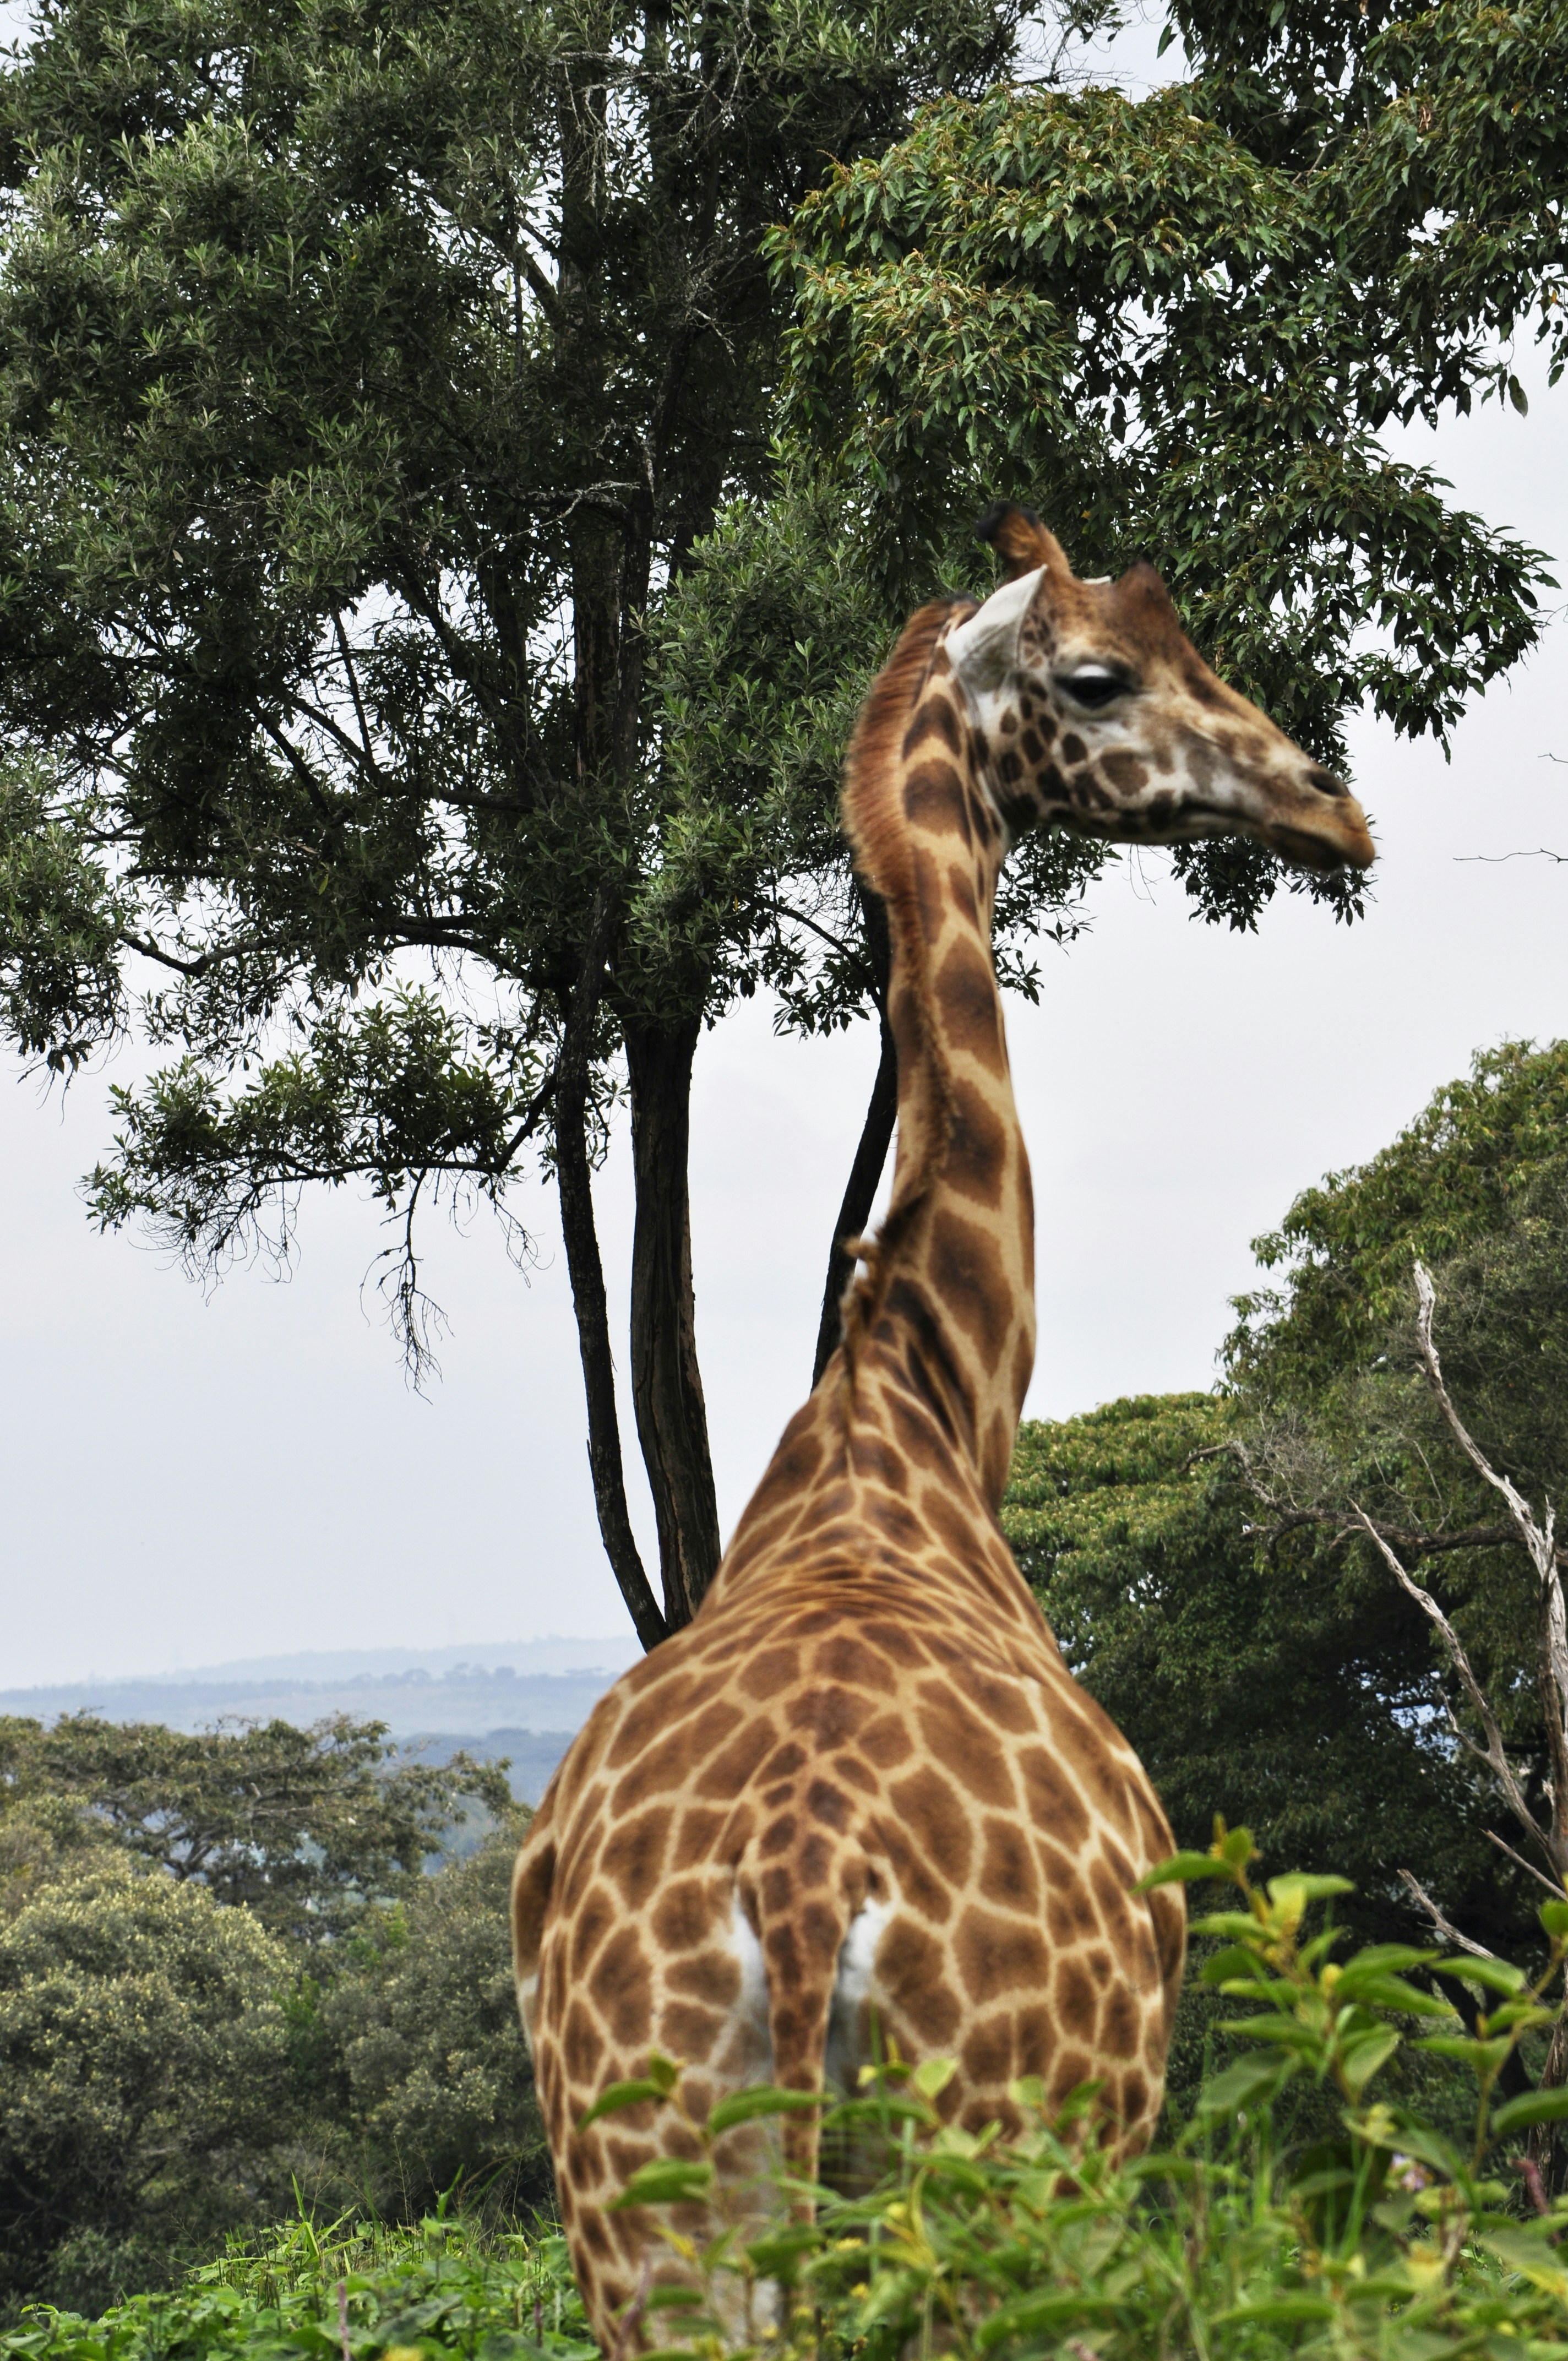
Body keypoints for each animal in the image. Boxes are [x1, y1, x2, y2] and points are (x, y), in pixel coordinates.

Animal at [513, 505, 1375, 2345]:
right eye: (1100, 675)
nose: (1327, 806)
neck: (915, 1389)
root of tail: (802, 1873)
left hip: (638, 2203)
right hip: (1015, 2176)